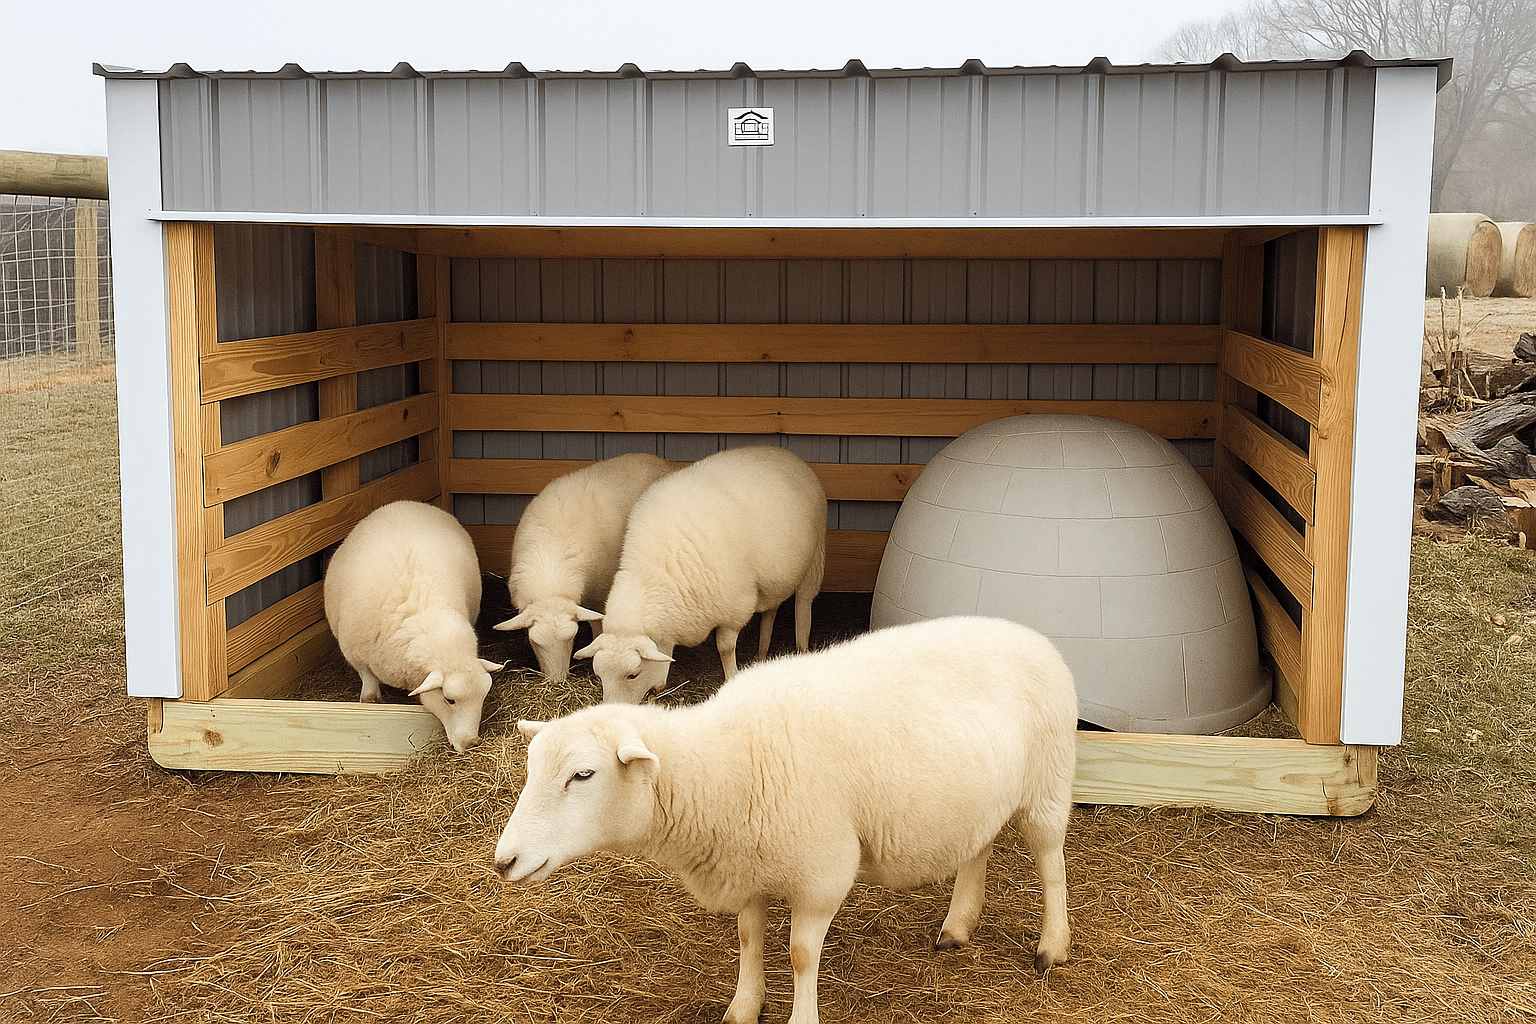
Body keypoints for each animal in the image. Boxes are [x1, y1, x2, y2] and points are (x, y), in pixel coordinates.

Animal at [323, 500, 503, 753]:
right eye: (449, 700)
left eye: (483, 697)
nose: (471, 744)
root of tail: (404, 503)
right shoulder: (356, 656)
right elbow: (368, 689)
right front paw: (370, 701)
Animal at [493, 452, 677, 681]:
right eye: (534, 642)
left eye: (571, 638)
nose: (558, 682)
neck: (550, 557)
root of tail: (652, 457)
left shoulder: (599, 596)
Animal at [494, 615, 1077, 1024]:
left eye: (583, 775)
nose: (504, 861)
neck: (722, 766)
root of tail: (1032, 635)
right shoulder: (746, 867)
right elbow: (749, 940)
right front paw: (743, 1007)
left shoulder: (822, 874)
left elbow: (798, 955)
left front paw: (800, 1014)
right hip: (981, 794)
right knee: (977, 847)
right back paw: (958, 927)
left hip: (1048, 783)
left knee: (1051, 862)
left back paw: (1053, 946)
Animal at [574, 444, 827, 704]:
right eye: (598, 675)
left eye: (633, 675)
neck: (654, 574)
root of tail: (785, 453)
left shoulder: (736, 608)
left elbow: (725, 648)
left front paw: (731, 678)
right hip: (773, 582)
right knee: (771, 610)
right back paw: (761, 653)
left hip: (815, 556)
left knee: (803, 606)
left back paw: (802, 649)